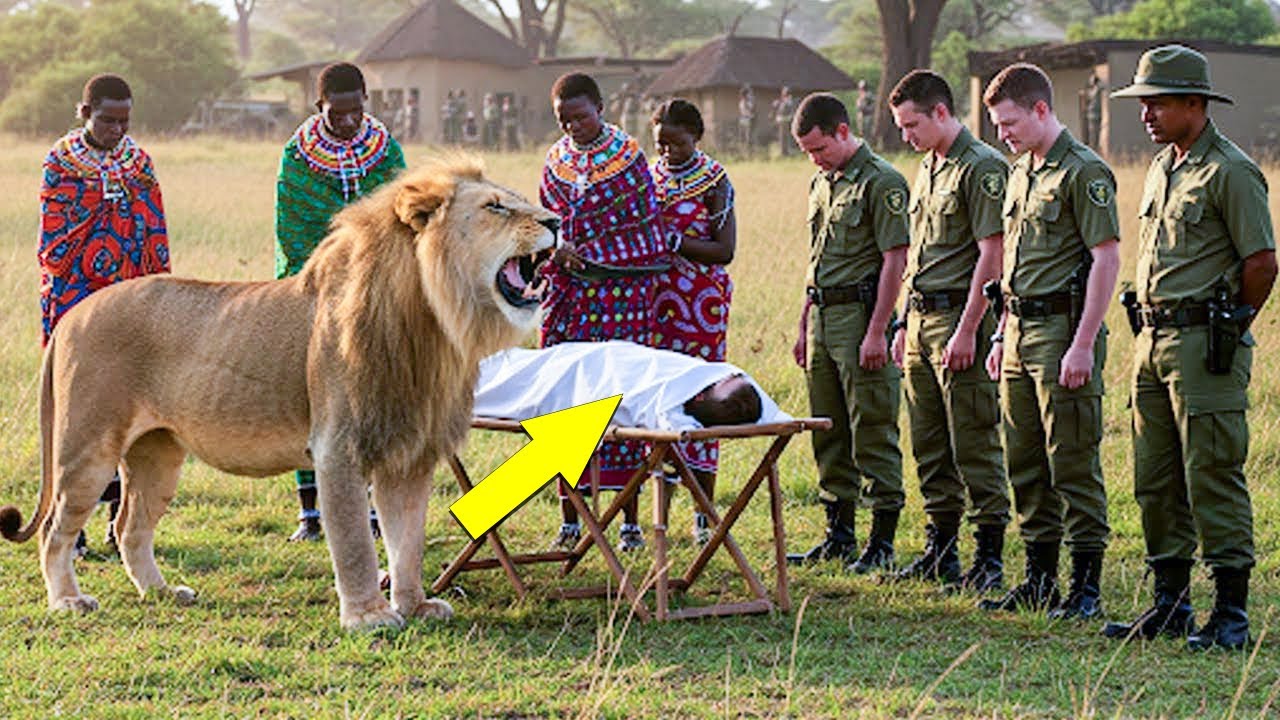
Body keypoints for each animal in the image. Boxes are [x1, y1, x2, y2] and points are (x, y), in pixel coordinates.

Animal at [0, 157, 558, 630]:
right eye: (495, 207)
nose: (554, 219)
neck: (431, 322)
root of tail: (72, 315)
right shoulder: (337, 448)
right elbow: (356, 542)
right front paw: (369, 617)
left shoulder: (410, 455)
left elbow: (408, 541)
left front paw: (415, 605)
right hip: (87, 448)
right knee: (56, 529)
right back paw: (67, 601)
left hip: (157, 454)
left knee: (129, 526)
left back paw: (161, 592)